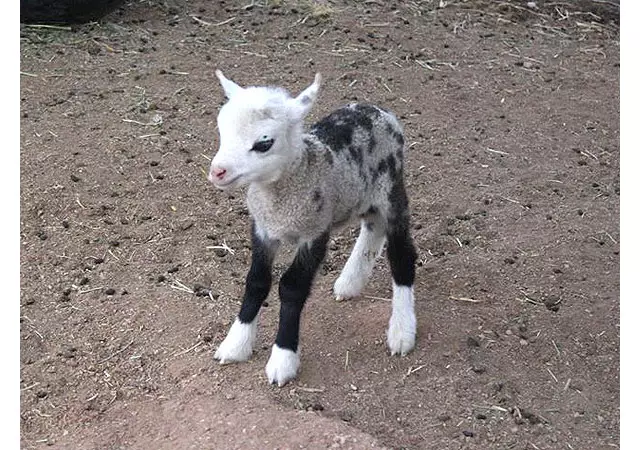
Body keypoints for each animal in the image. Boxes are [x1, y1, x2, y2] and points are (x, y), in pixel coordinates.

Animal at [210, 70, 418, 386]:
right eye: (222, 129)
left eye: (264, 142)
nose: (217, 172)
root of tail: (377, 110)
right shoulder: (263, 229)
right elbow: (256, 281)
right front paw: (236, 344)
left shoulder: (315, 230)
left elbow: (292, 288)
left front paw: (282, 358)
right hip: (361, 195)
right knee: (373, 228)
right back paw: (350, 282)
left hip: (391, 188)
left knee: (401, 253)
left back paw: (402, 330)